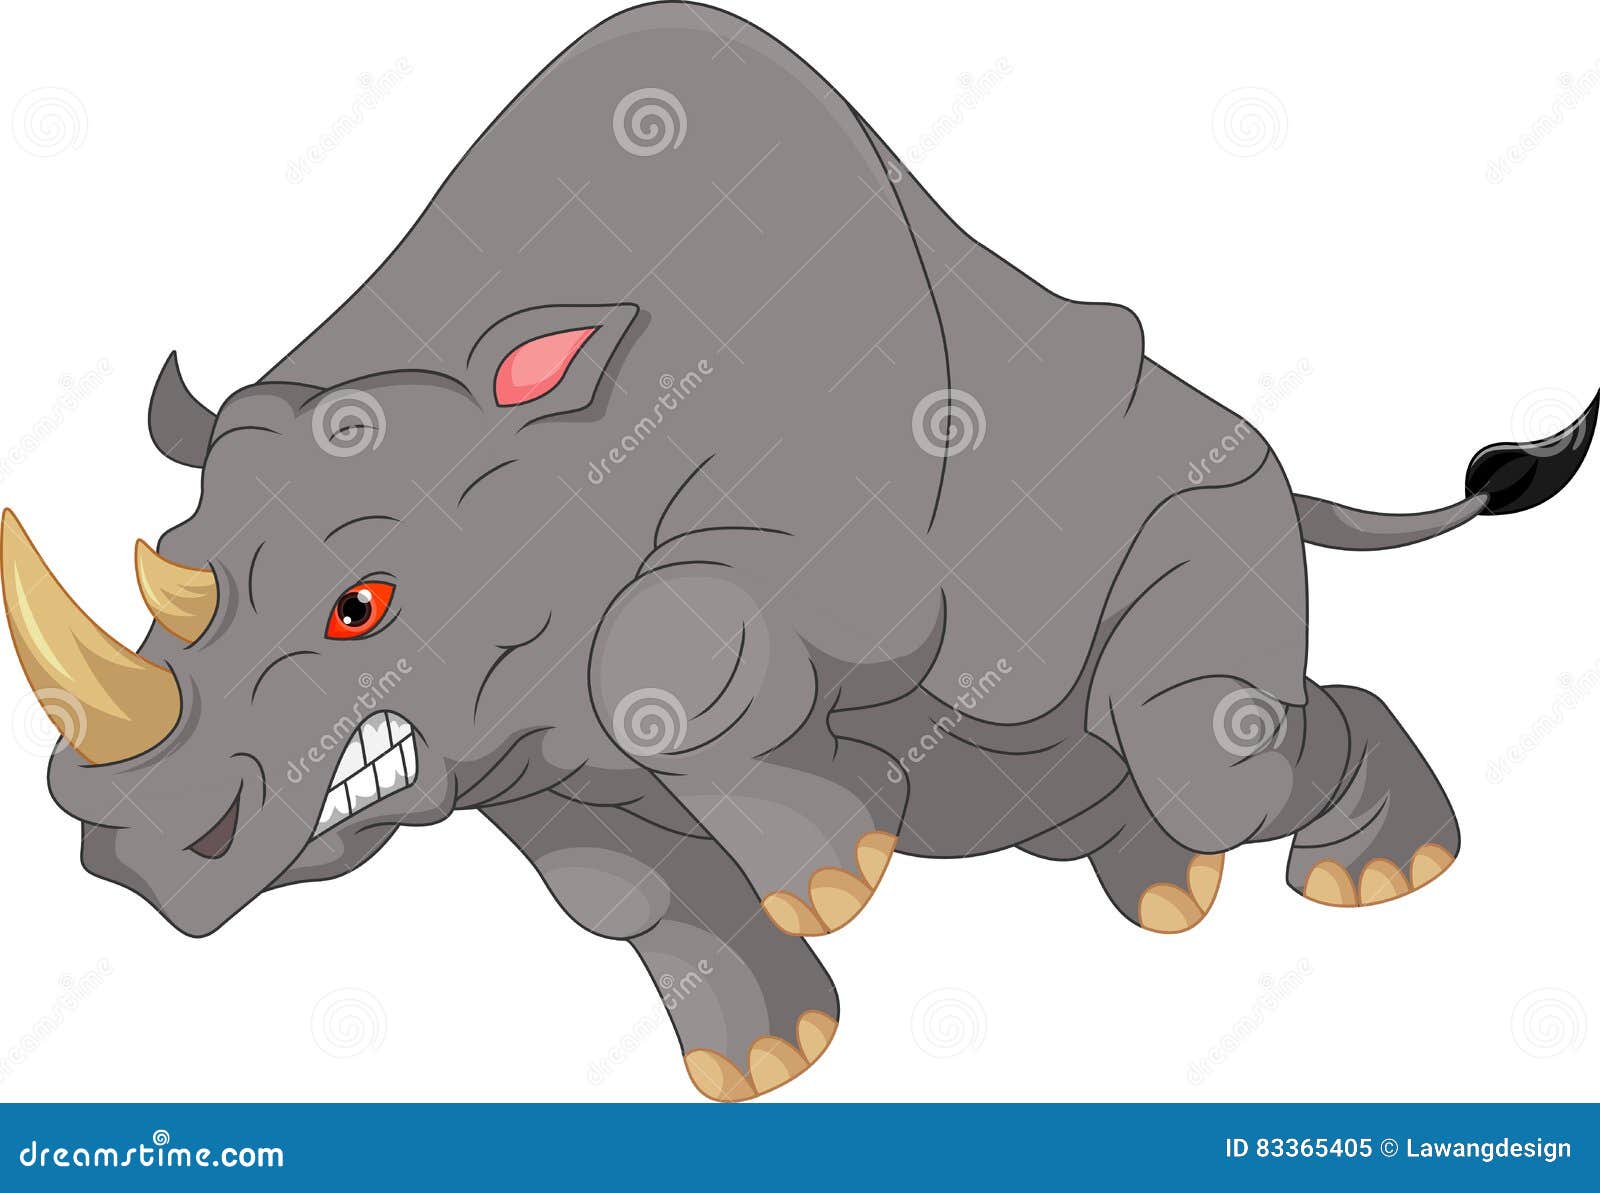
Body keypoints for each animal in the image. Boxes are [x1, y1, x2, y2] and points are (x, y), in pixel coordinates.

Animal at [3, 3, 1593, 1101]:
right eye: (176, 563)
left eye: (359, 603)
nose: (129, 851)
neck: (532, 438)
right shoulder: (513, 747)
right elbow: (619, 890)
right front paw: (771, 1056)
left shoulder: (851, 542)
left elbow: (672, 641)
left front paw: (837, 869)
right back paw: (1170, 892)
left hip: (1211, 483)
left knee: (1212, 754)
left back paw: (1380, 877)